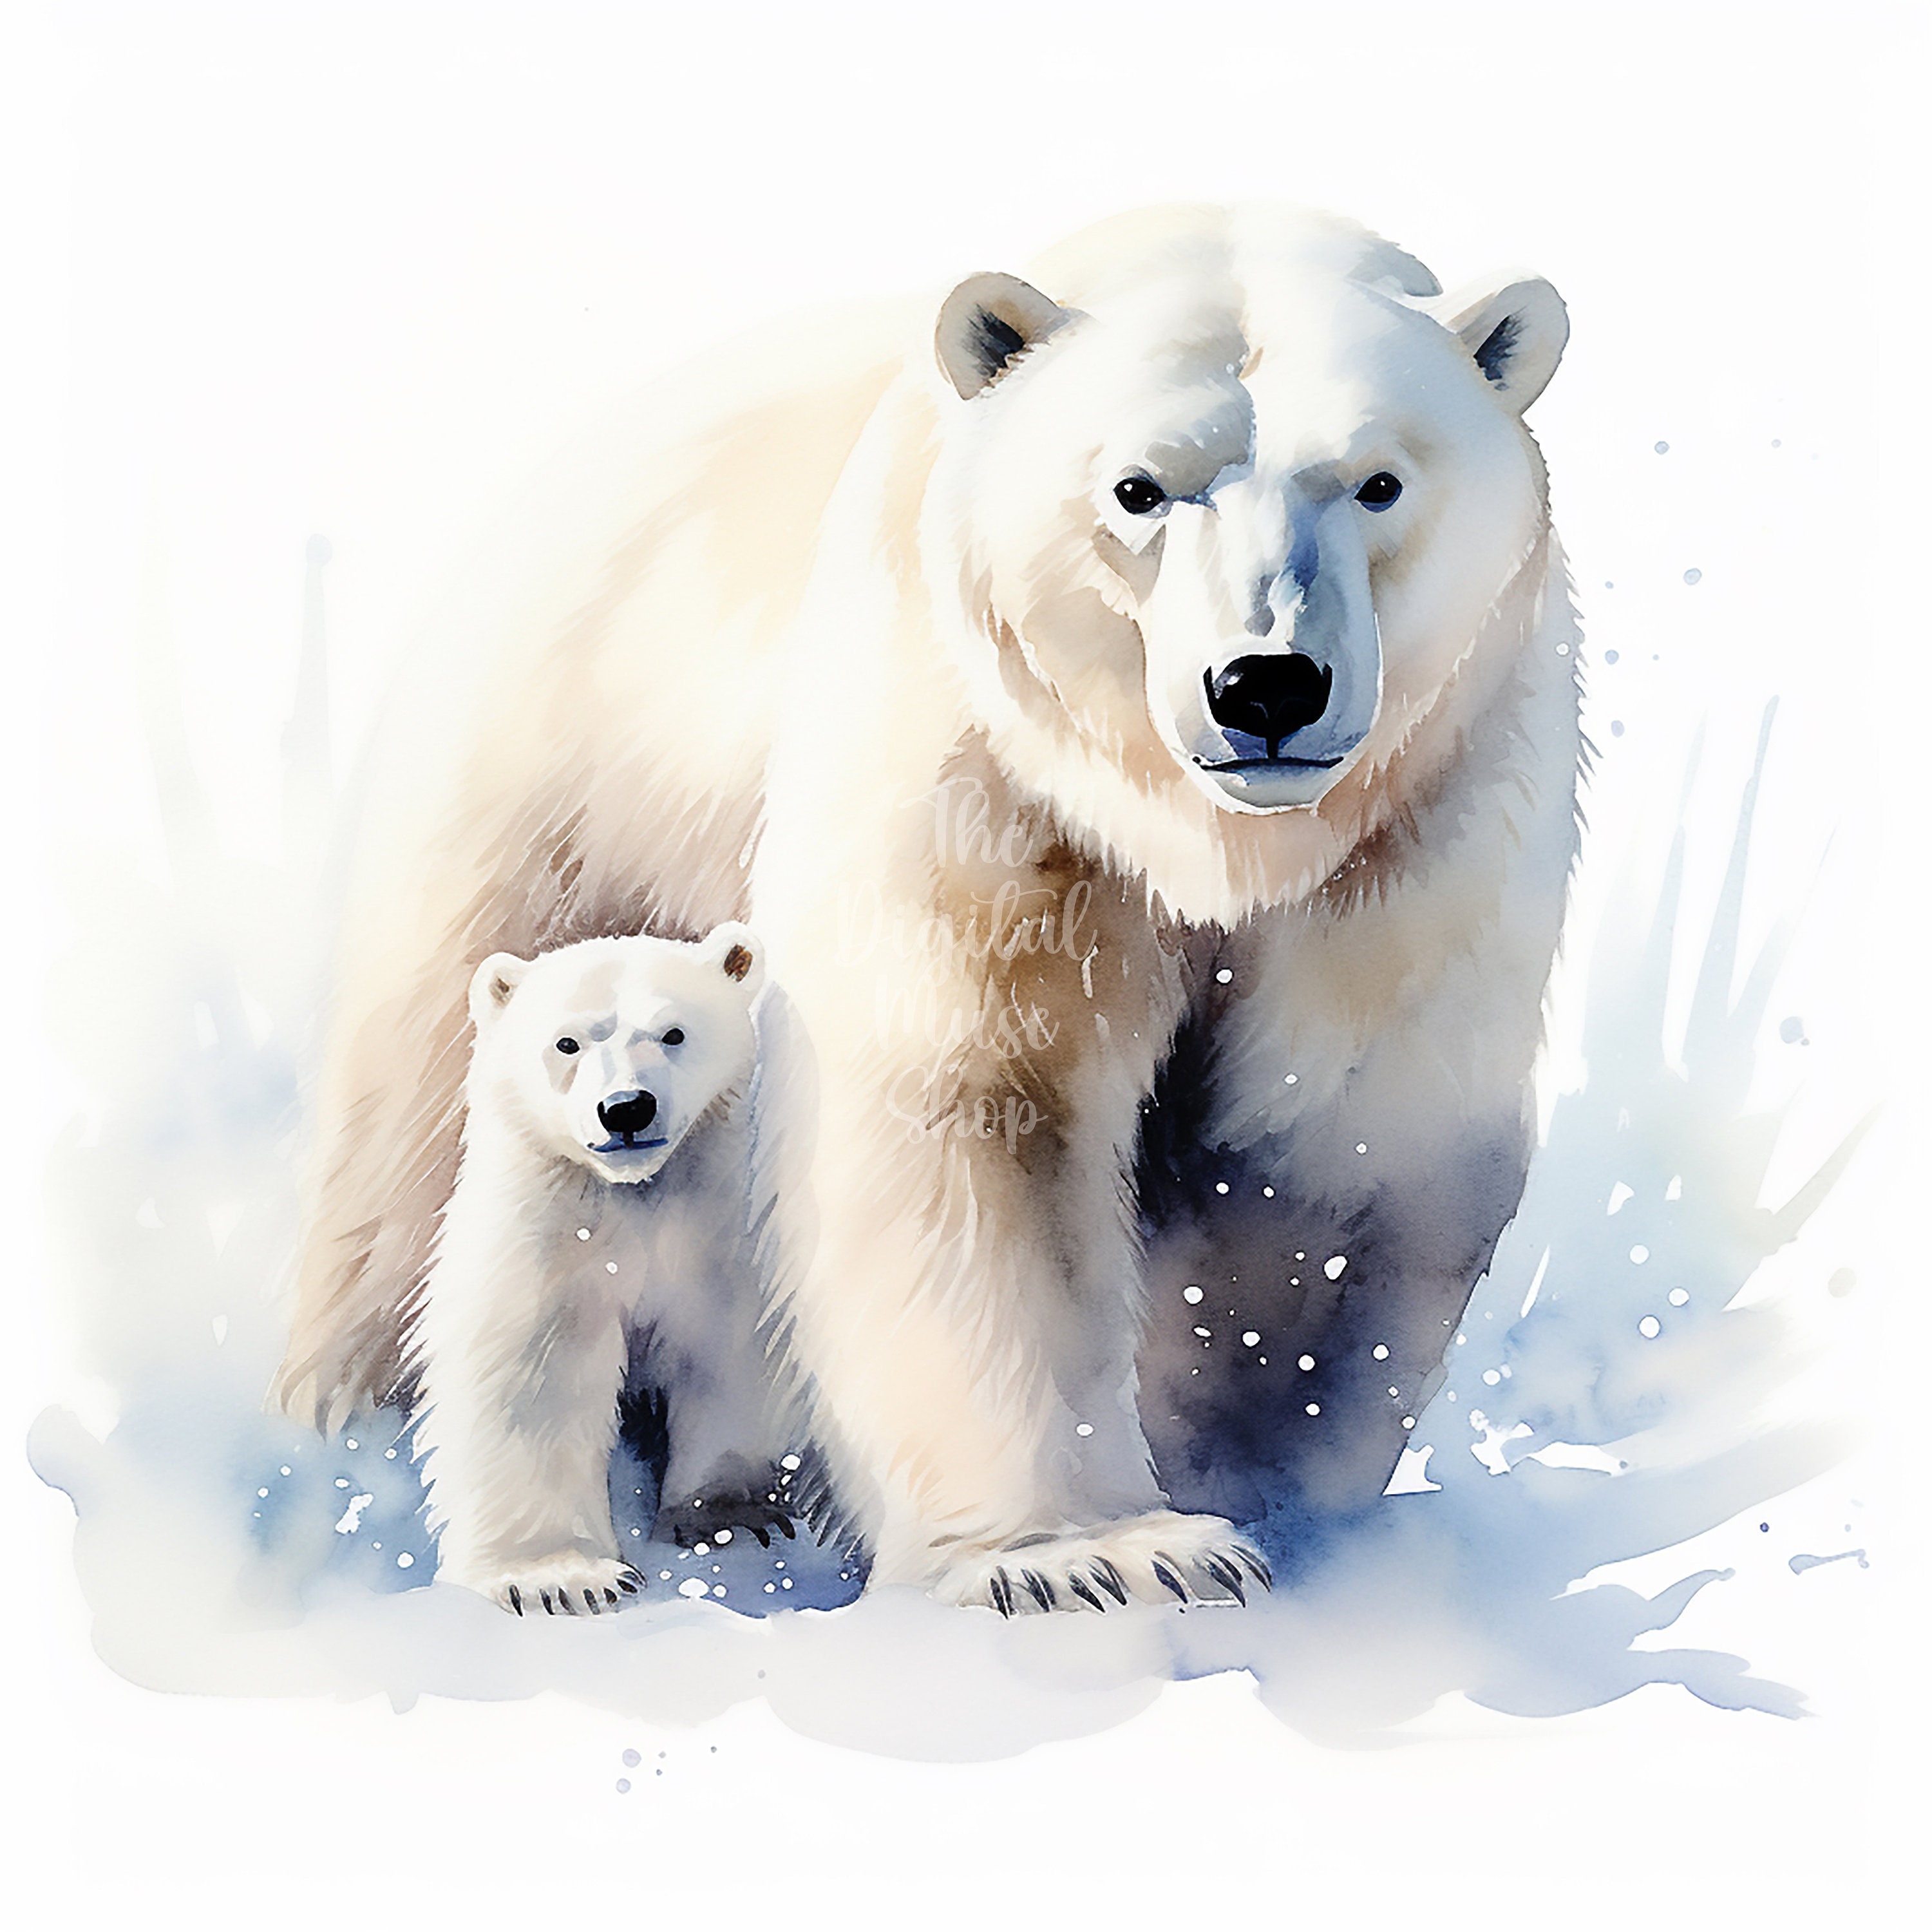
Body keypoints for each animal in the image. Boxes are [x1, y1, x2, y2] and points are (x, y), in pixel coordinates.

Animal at [411, 923, 796, 1616]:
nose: (625, 1109)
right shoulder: (550, 1233)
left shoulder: (719, 1226)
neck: (633, 1194)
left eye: (674, 1033)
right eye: (566, 1043)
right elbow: (540, 1377)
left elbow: (729, 1345)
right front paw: (559, 1578)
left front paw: (726, 1516)